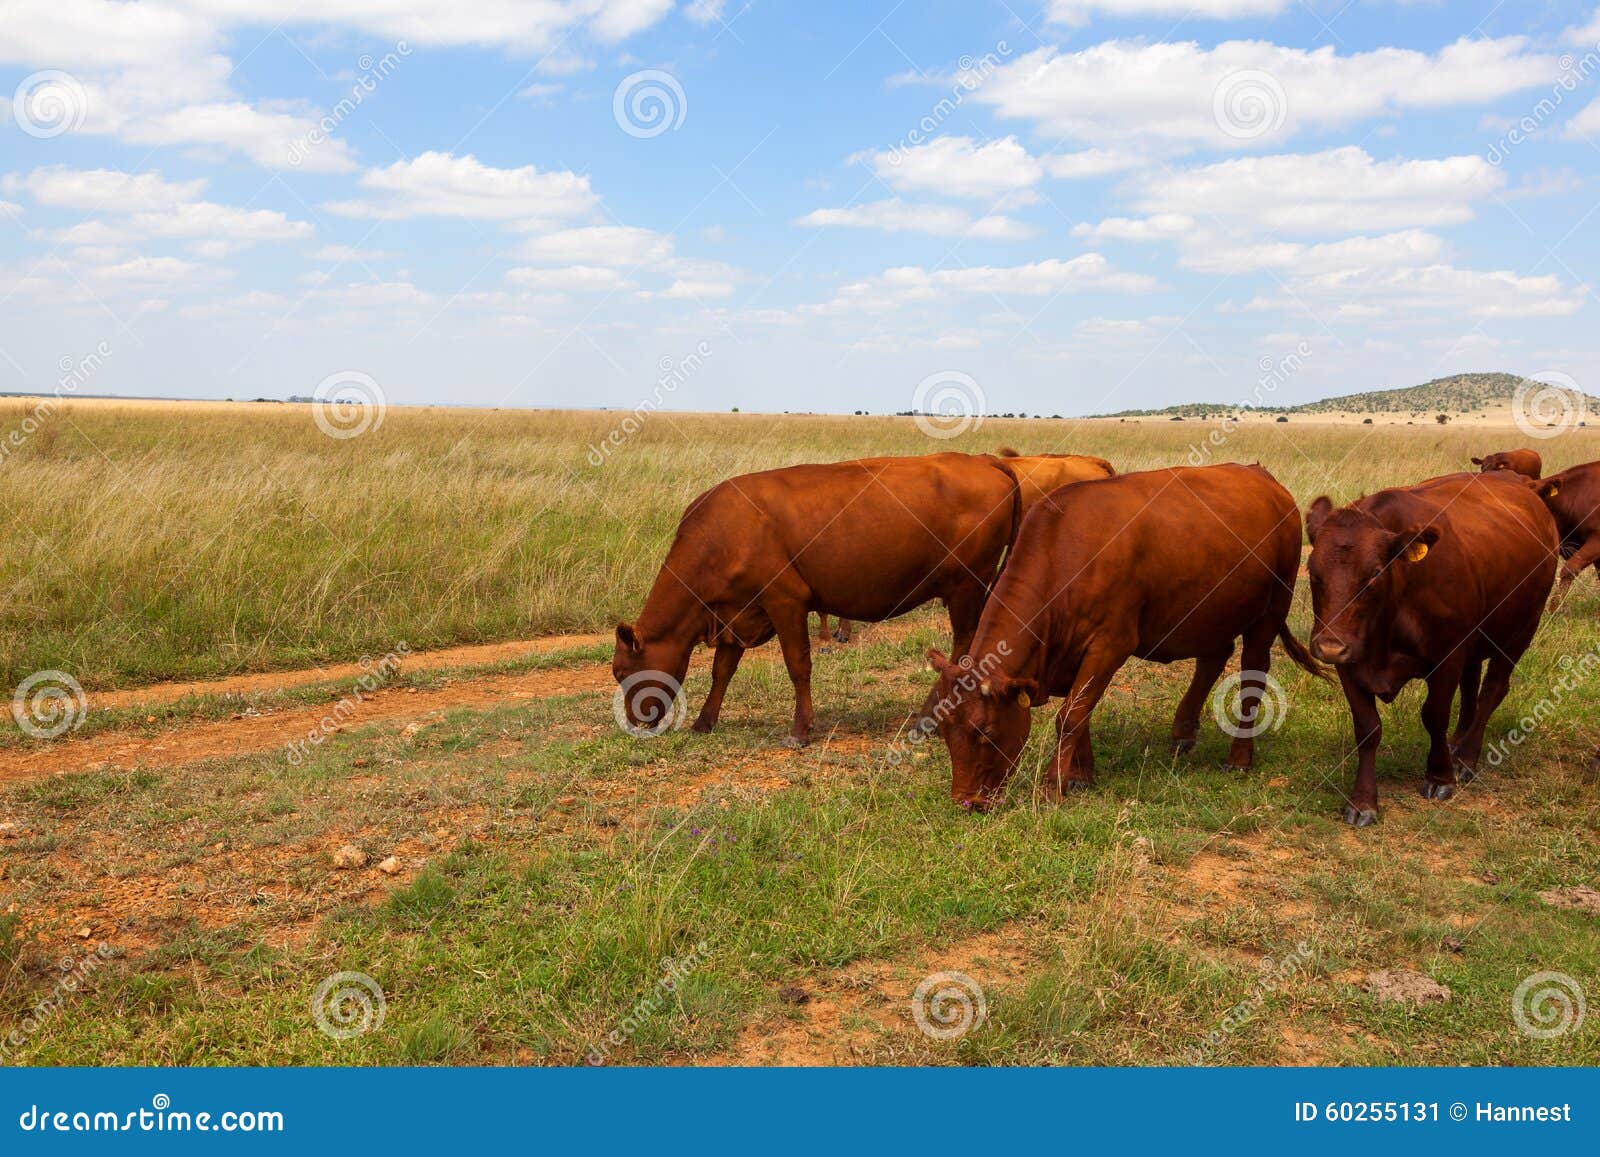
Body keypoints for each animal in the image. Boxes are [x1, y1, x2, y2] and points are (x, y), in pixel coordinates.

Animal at [614, 452, 1027, 747]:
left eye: (620, 672)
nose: (634, 724)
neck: (723, 534)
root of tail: (981, 459)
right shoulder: (737, 611)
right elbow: (722, 670)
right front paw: (704, 721)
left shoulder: (785, 601)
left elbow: (798, 666)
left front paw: (800, 730)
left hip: (967, 586)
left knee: (963, 649)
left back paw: (928, 717)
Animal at [926, 463, 1322, 810]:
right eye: (943, 729)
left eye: (986, 733)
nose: (967, 802)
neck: (1065, 551)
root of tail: (1263, 477)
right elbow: (1080, 711)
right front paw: (1081, 775)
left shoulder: (1110, 644)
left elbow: (1071, 714)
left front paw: (1054, 784)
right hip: (1210, 613)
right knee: (1213, 658)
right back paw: (1182, 733)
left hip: (1270, 611)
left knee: (1253, 672)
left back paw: (1239, 758)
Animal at [1305, 471, 1557, 826]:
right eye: (1313, 571)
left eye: (1375, 574)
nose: (1329, 645)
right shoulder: (1350, 662)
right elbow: (1367, 728)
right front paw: (1363, 800)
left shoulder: (1447, 657)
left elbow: (1434, 715)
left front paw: (1440, 777)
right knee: (1471, 688)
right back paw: (1457, 744)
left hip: (1521, 630)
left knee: (1492, 690)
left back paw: (1465, 758)